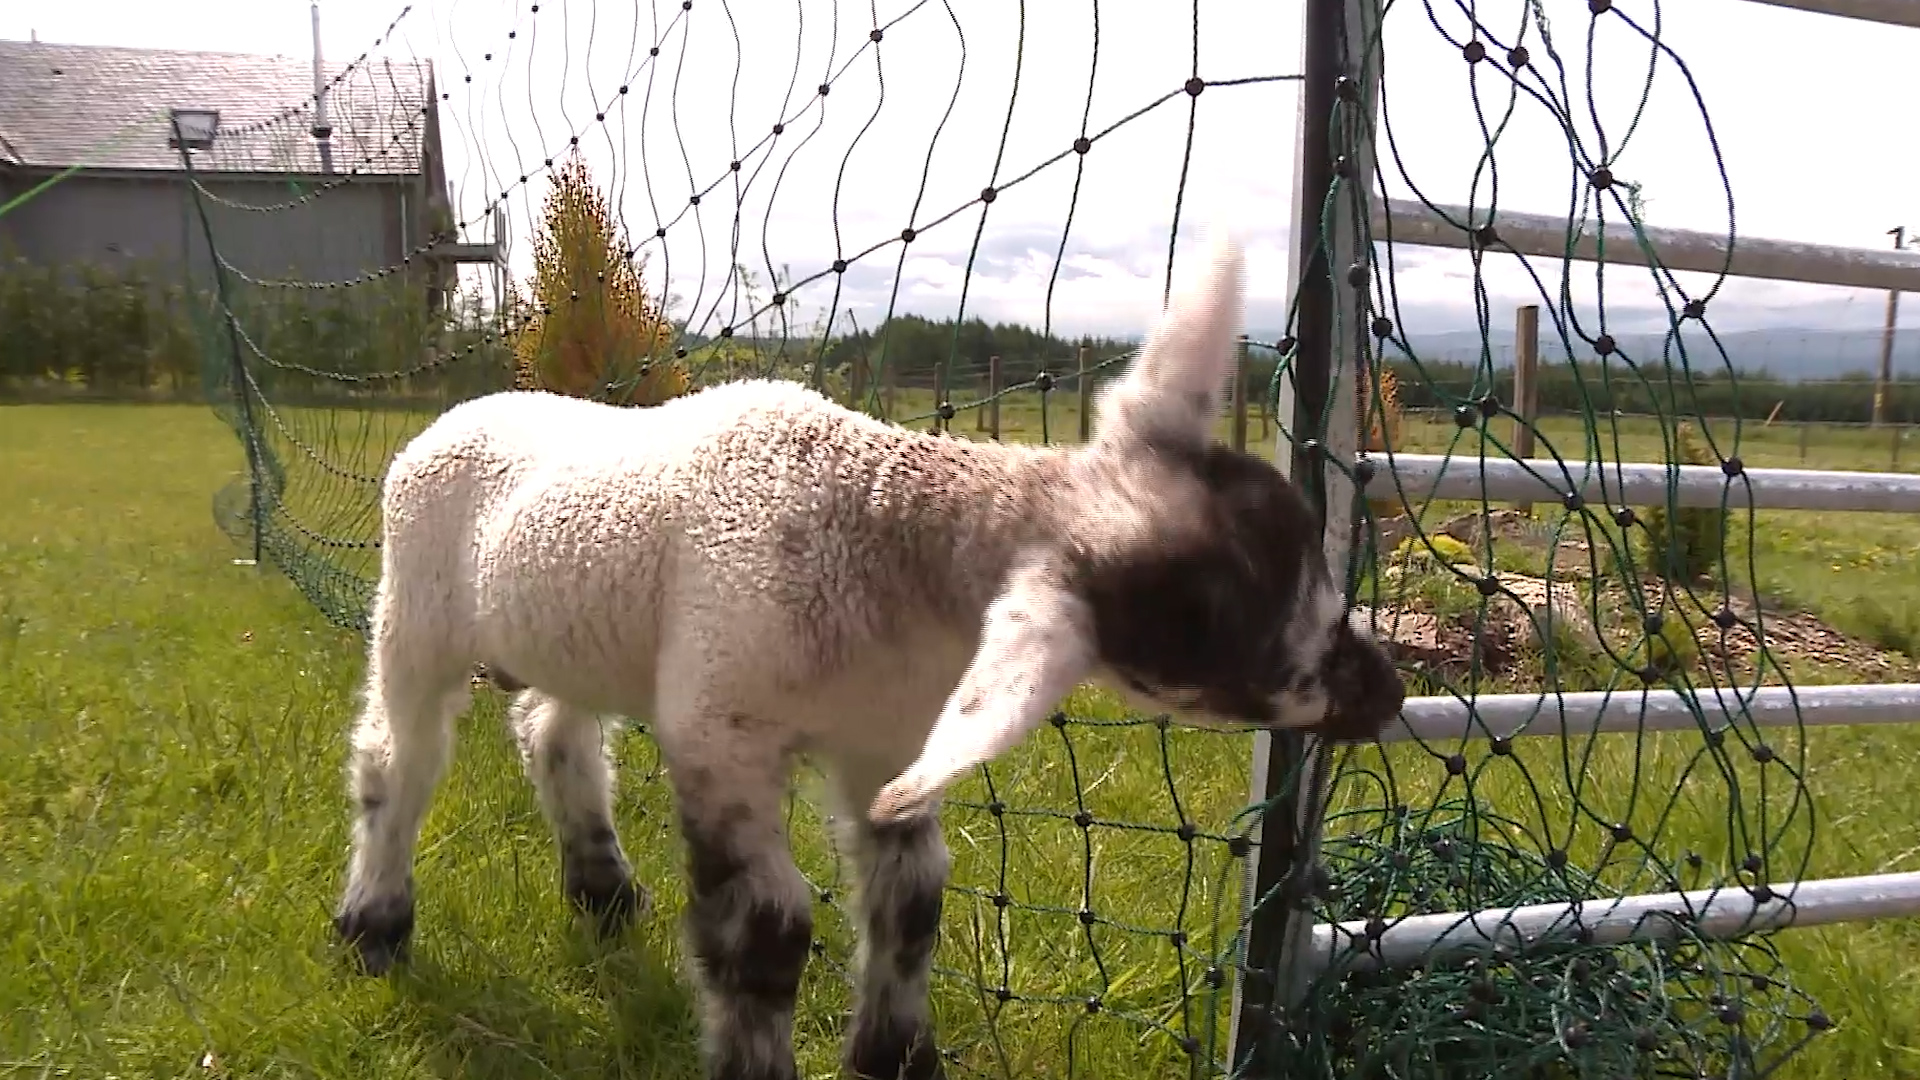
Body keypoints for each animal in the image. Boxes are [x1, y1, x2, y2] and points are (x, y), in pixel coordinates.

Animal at [330, 235, 1407, 1080]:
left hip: (580, 627)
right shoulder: (722, 735)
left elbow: (912, 903)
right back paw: (375, 923)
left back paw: (602, 890)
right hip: (416, 609)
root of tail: (461, 411)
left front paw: (895, 1057)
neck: (879, 533)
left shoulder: (887, 748)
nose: (1386, 693)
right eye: (1214, 631)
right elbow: (765, 933)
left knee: (553, 730)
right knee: (398, 762)